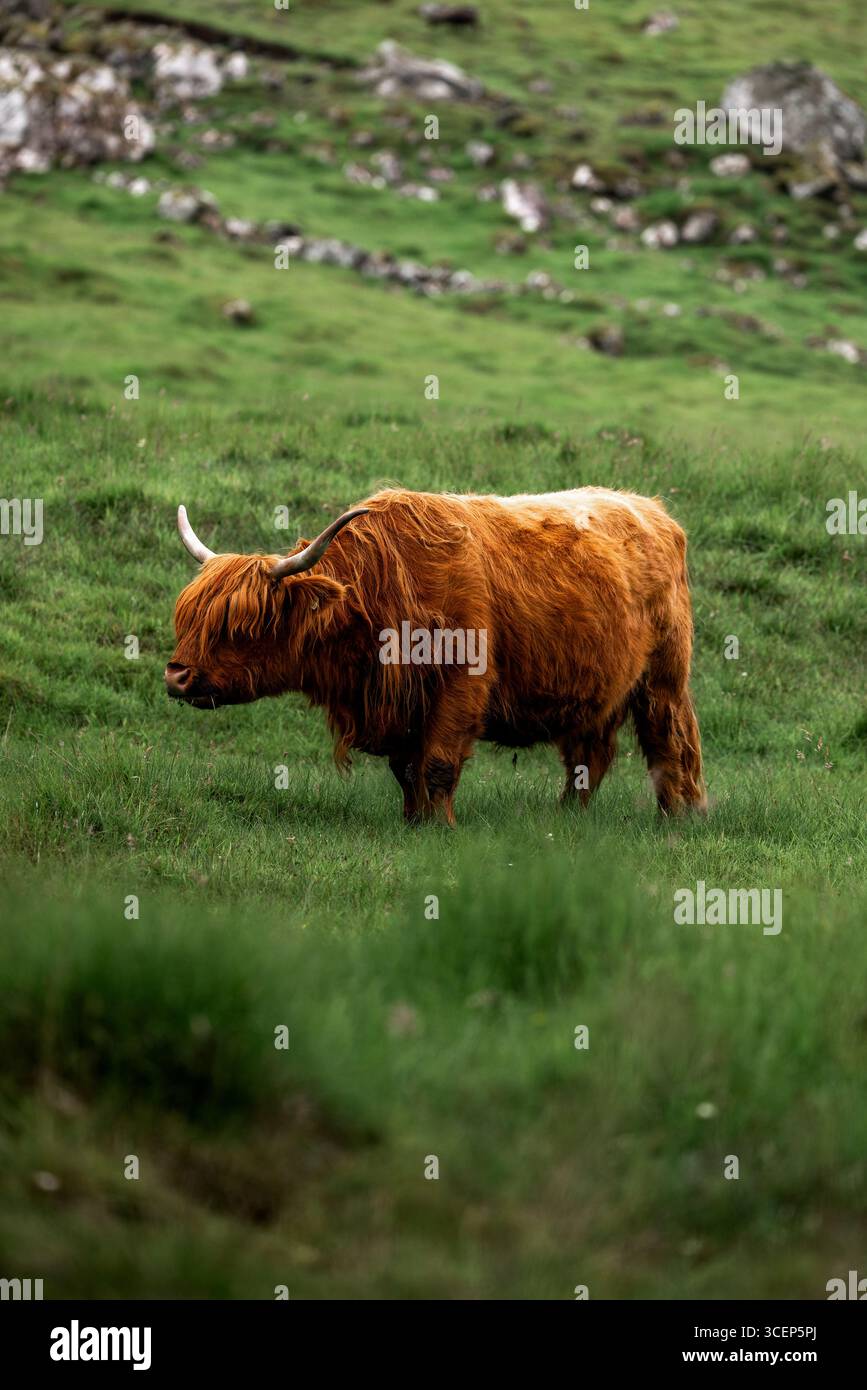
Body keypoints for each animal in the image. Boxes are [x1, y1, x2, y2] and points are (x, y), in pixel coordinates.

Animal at [166, 487, 706, 825]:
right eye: (188, 619)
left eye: (239, 625)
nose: (176, 676)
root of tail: (652, 510)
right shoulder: (399, 701)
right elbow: (404, 770)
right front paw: (413, 821)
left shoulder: (460, 686)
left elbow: (438, 765)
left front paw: (442, 826)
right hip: (594, 687)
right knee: (588, 757)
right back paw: (569, 817)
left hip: (662, 676)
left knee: (670, 742)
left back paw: (678, 817)